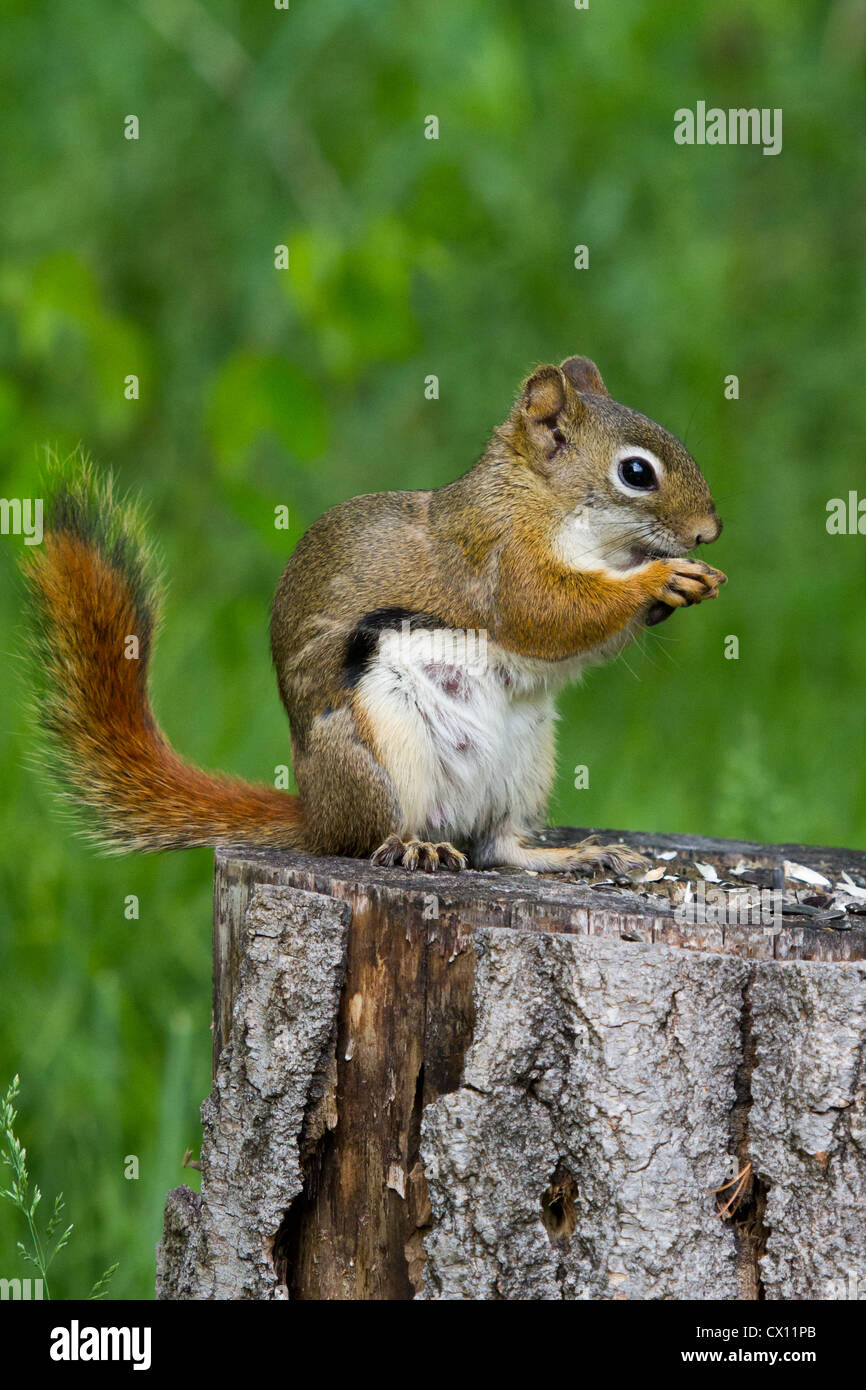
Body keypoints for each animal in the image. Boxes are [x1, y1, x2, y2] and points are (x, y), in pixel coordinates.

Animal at [24, 355, 725, 876]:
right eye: (636, 473)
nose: (708, 533)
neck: (540, 501)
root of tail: (317, 817)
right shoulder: (498, 561)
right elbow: (548, 614)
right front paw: (662, 578)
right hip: (381, 752)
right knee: (375, 839)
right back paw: (415, 846)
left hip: (525, 765)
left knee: (497, 846)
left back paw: (570, 856)